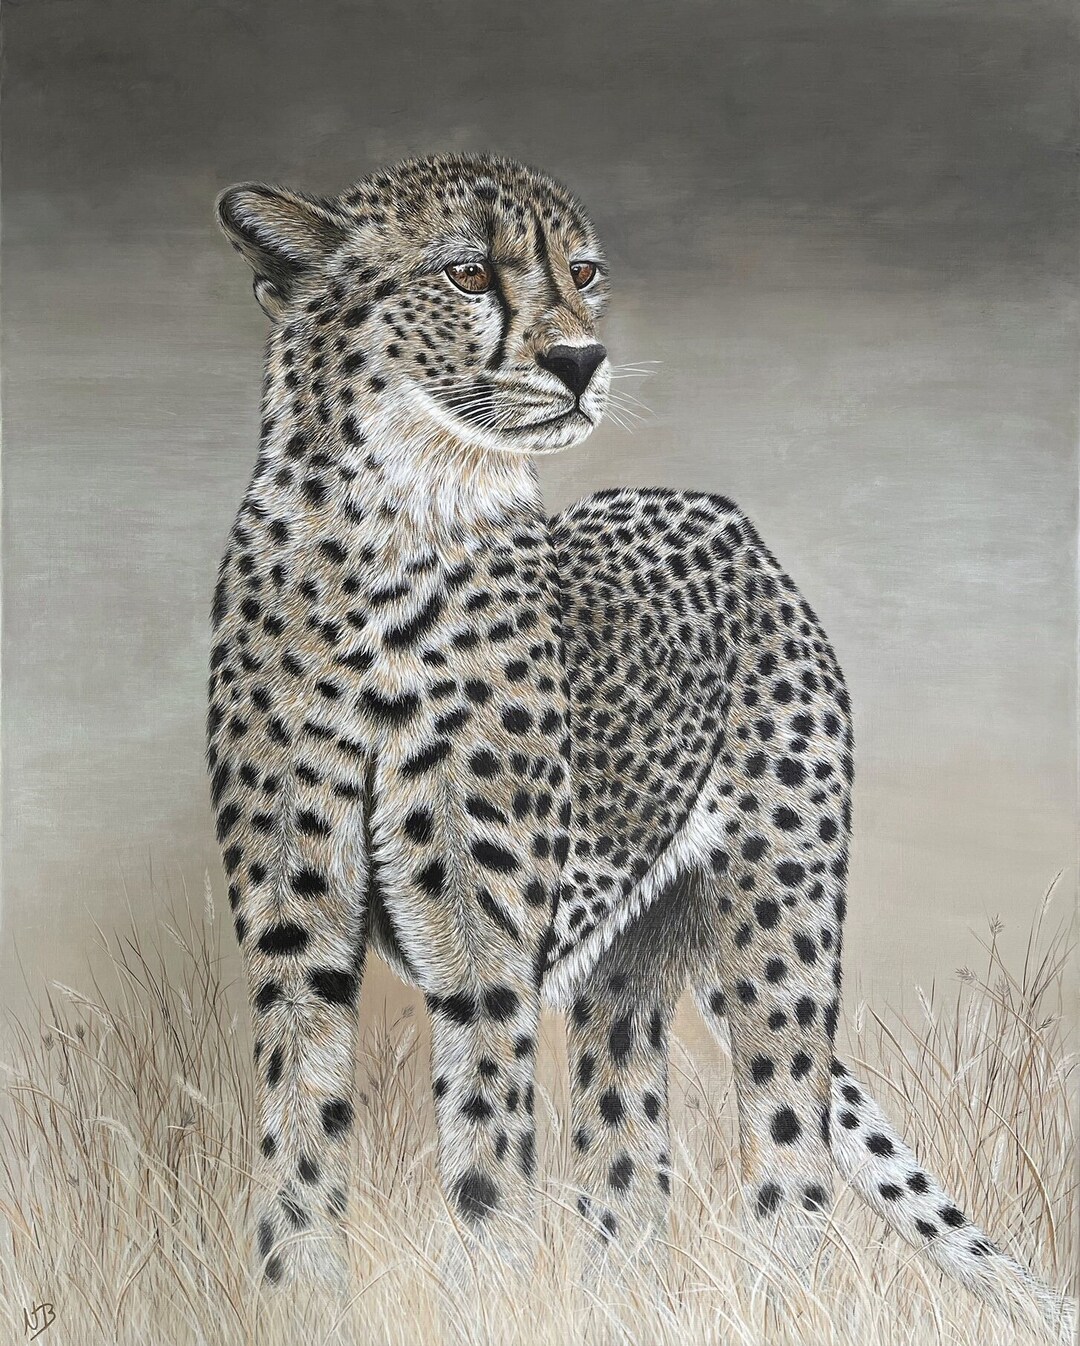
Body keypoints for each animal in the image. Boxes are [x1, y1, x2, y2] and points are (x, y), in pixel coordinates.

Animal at [206, 151, 1070, 1333]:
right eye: (467, 272)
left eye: (582, 273)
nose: (580, 359)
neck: (391, 530)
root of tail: (720, 515)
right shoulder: (297, 938)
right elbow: (298, 1144)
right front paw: (299, 1303)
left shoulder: (485, 956)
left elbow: (486, 1163)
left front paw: (487, 1305)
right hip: (625, 974)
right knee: (626, 1176)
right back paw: (626, 1305)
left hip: (779, 928)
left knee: (790, 1153)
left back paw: (776, 1305)